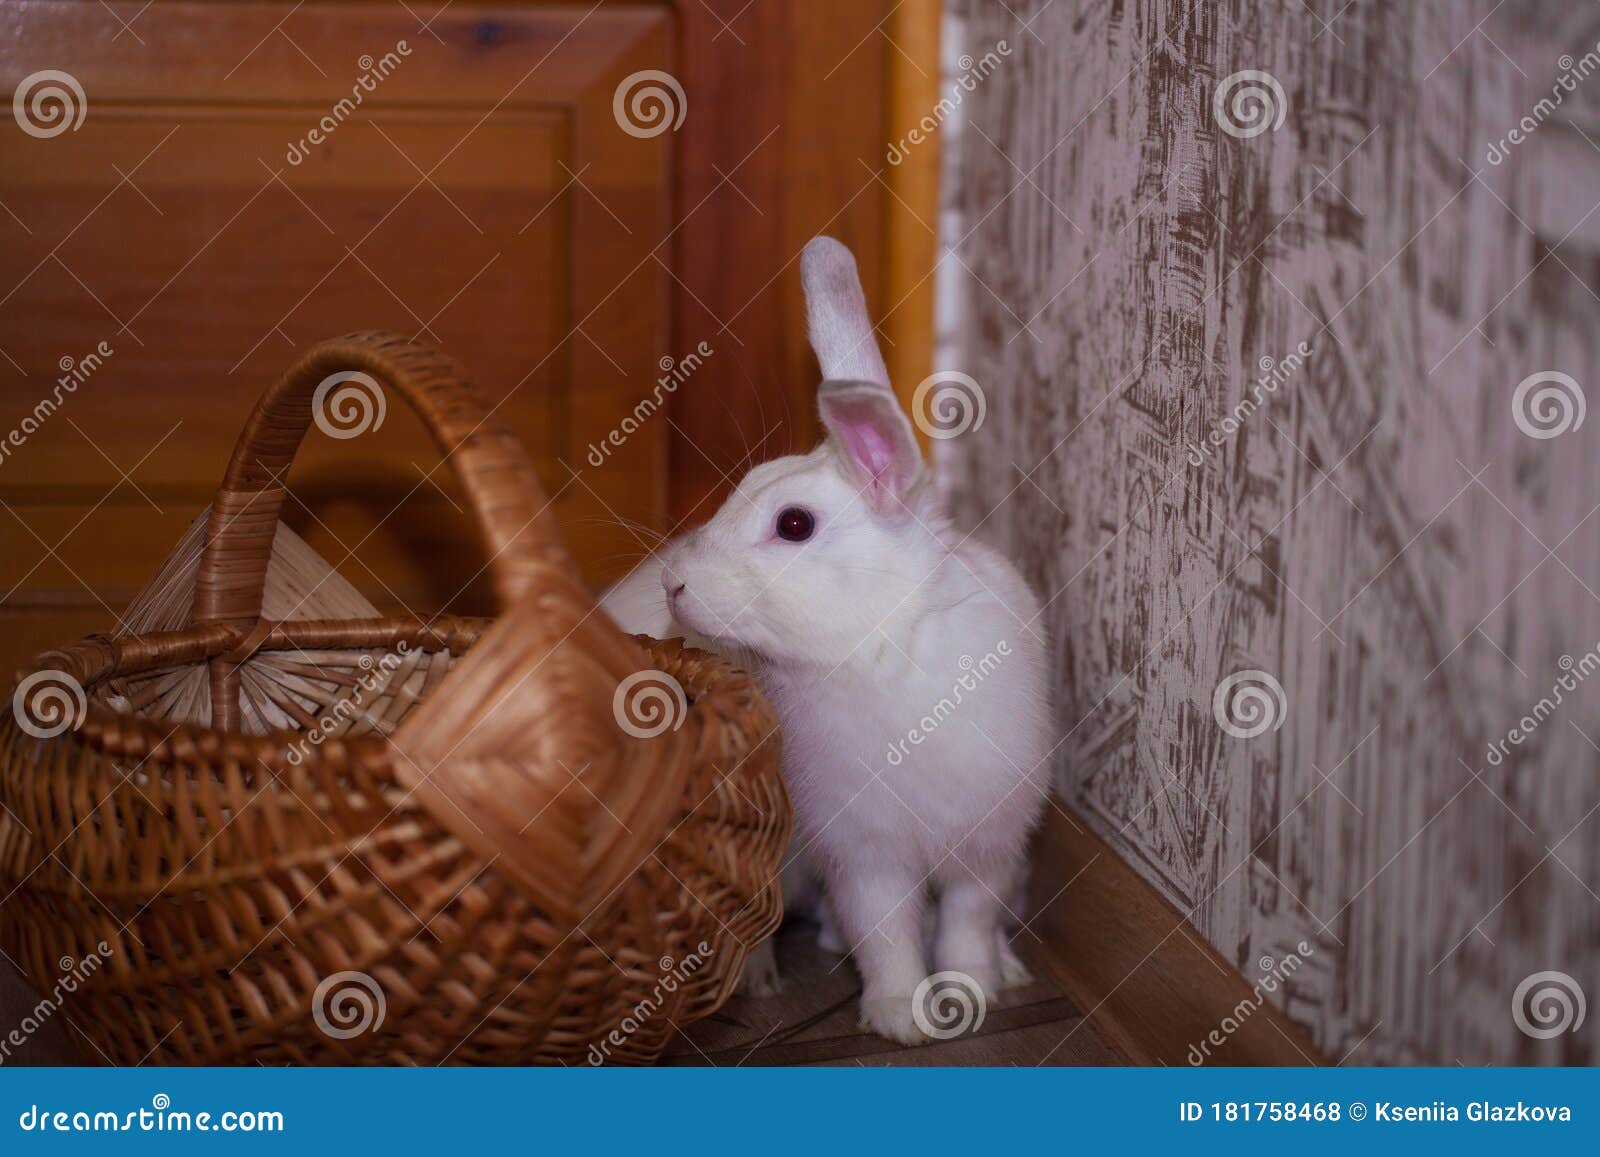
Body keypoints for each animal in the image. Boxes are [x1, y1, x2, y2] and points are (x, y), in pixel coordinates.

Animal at [600, 236, 1052, 1044]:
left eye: (794, 524)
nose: (677, 587)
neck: (885, 639)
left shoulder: (987, 842)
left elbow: (965, 923)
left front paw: (975, 991)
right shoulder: (865, 854)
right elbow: (887, 934)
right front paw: (904, 1018)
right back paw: (760, 979)